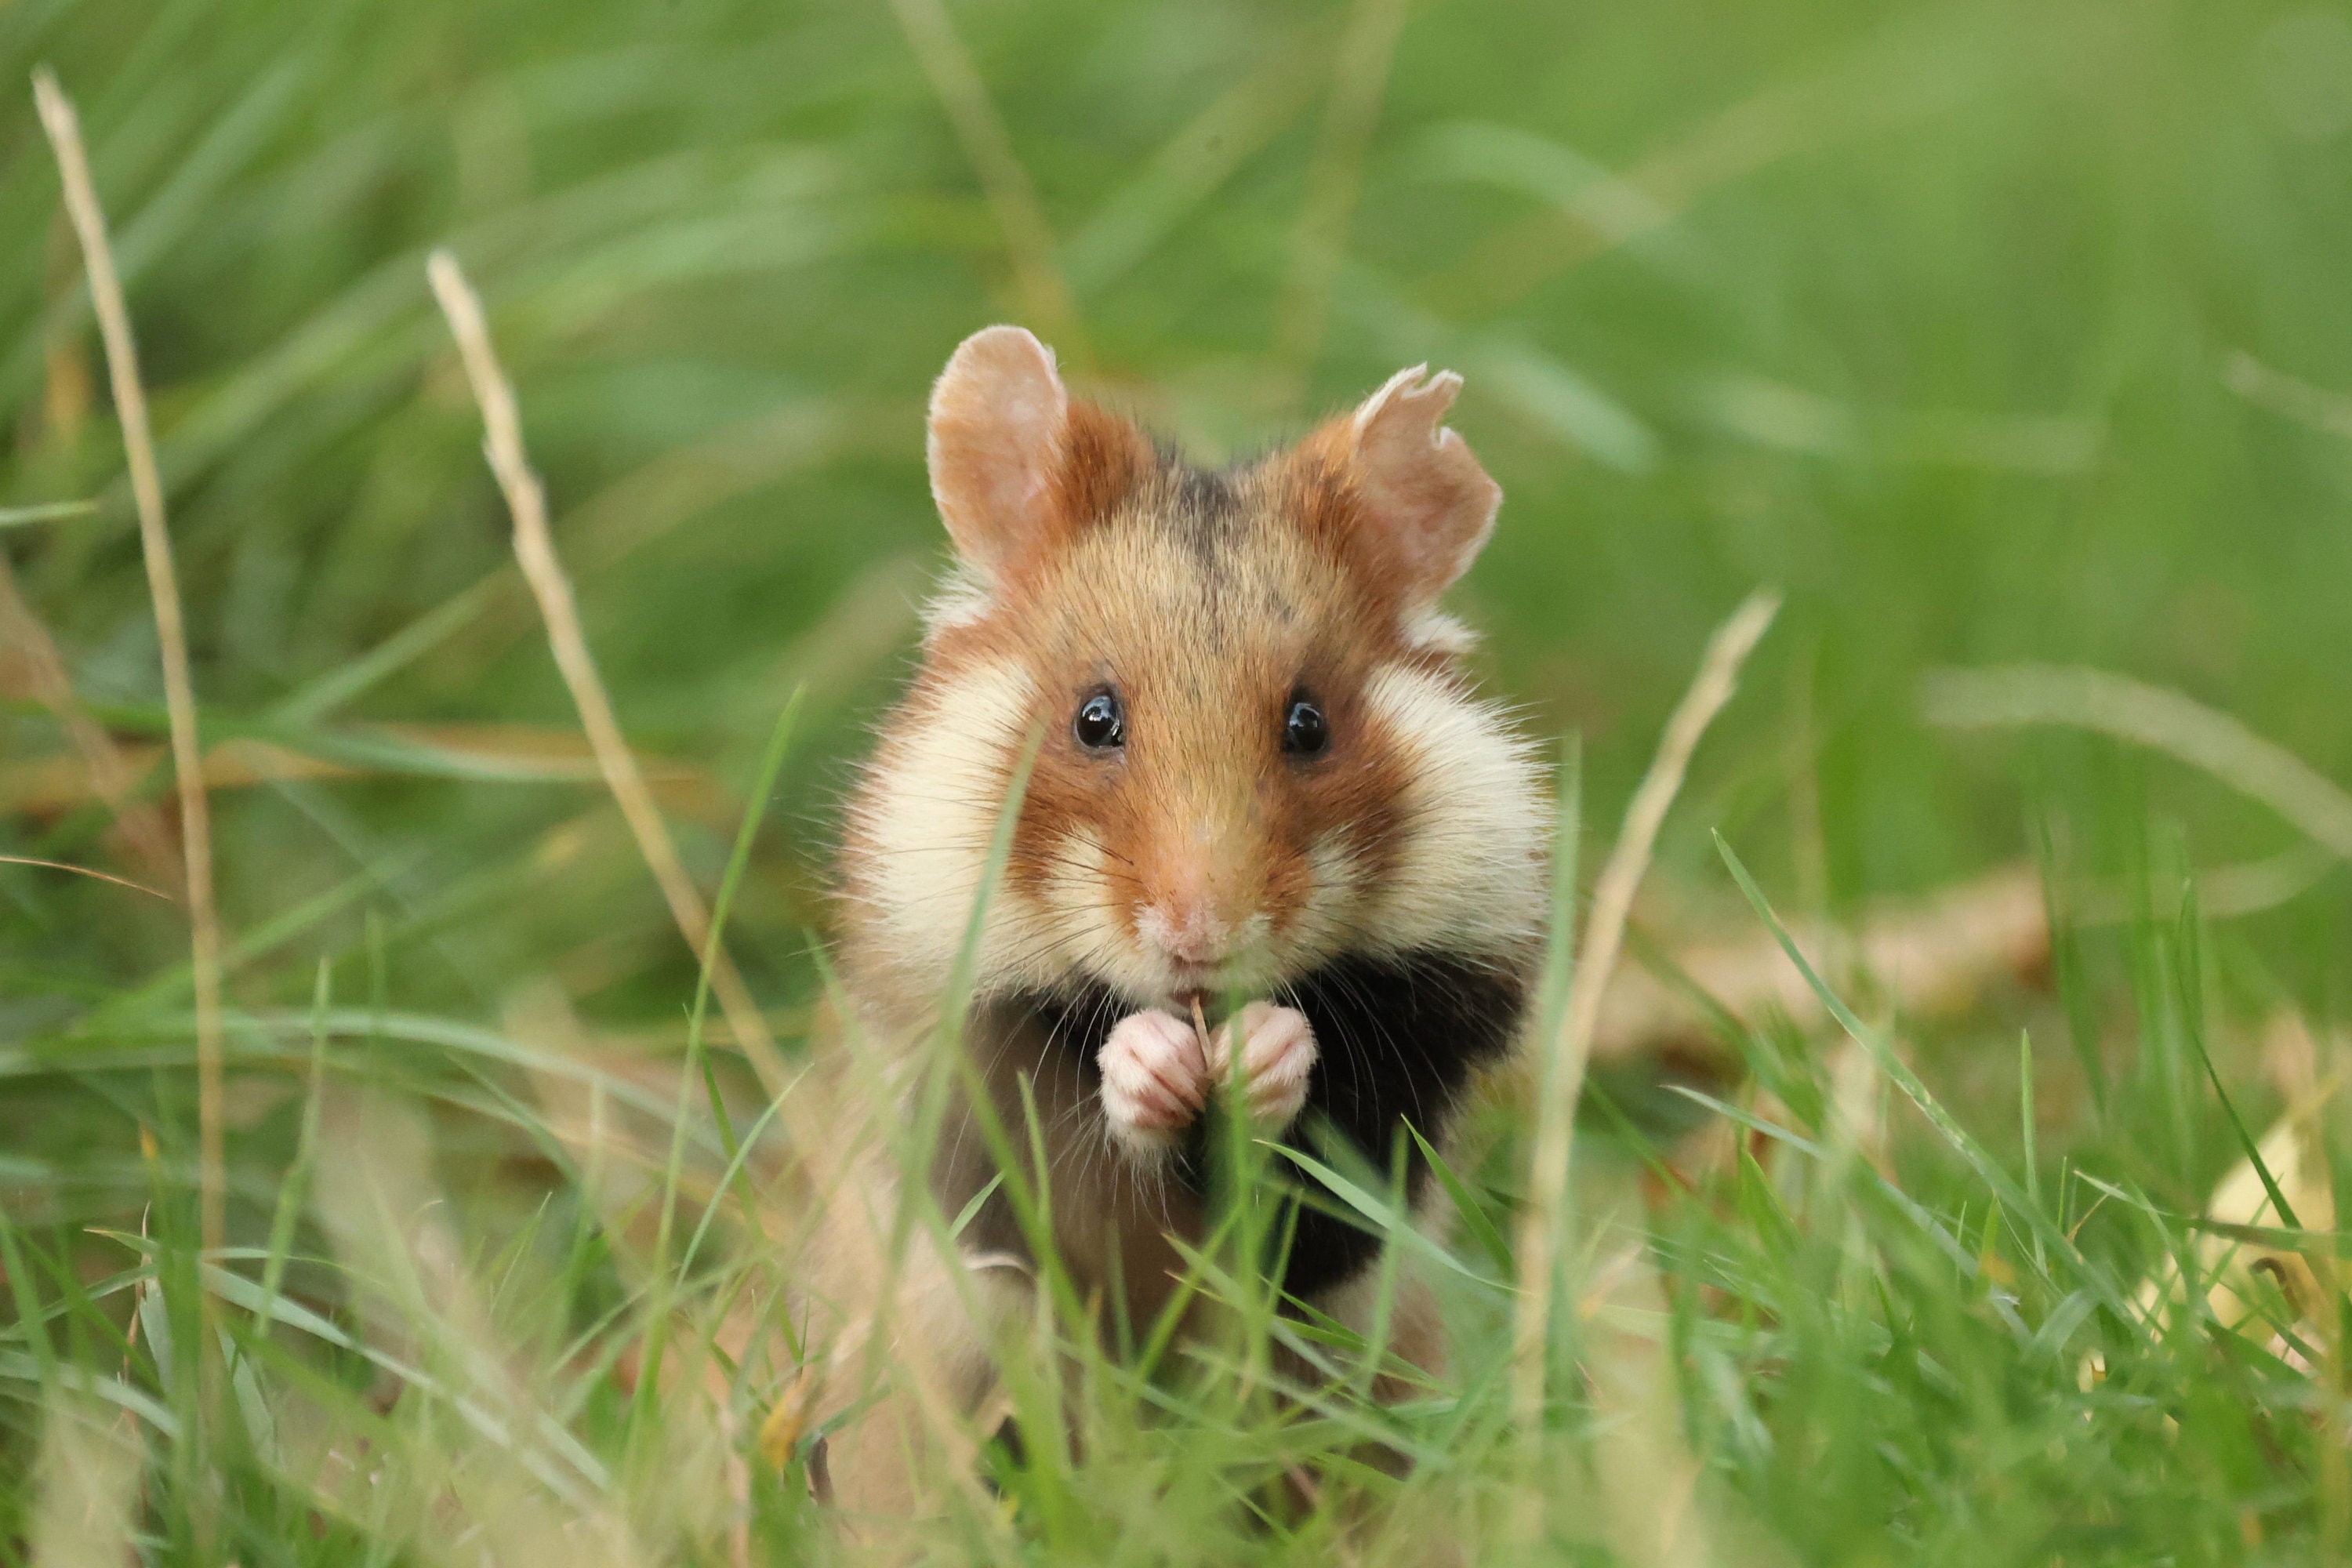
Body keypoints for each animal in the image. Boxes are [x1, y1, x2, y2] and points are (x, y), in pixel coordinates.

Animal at [818, 325, 1549, 1504]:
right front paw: (1156, 1059)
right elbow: (1059, 1141)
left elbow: (1329, 1181)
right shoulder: (955, 1079)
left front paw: (1262, 1052)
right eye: (1094, 717)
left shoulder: (1421, 1065)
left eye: (1309, 724)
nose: (1198, 942)